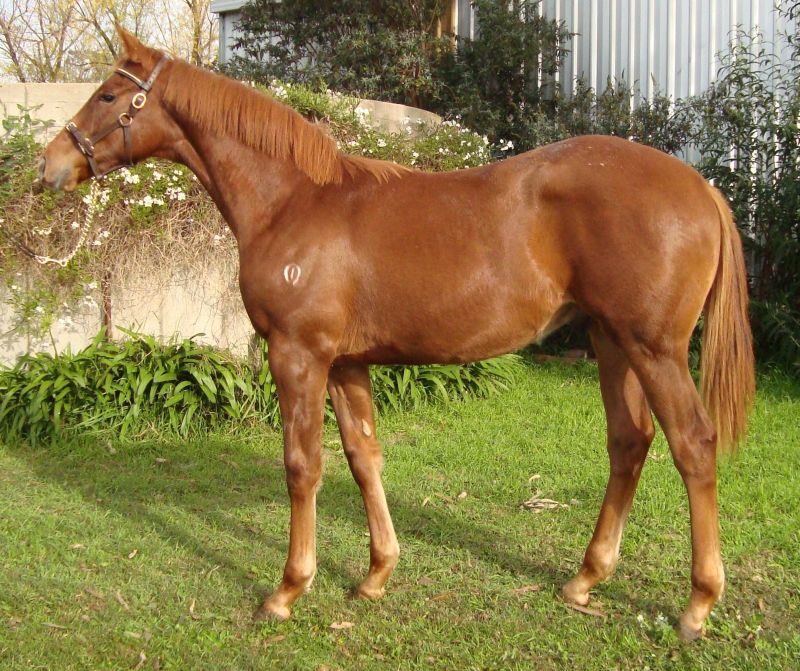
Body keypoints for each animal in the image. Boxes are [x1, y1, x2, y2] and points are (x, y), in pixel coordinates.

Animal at [39, 28, 754, 641]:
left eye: (108, 95)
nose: (51, 163)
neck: (292, 203)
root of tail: (699, 185)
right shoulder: (345, 363)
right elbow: (363, 457)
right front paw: (376, 574)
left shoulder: (297, 355)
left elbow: (302, 465)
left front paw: (288, 590)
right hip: (612, 343)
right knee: (629, 443)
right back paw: (584, 580)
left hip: (654, 349)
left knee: (692, 445)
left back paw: (697, 605)